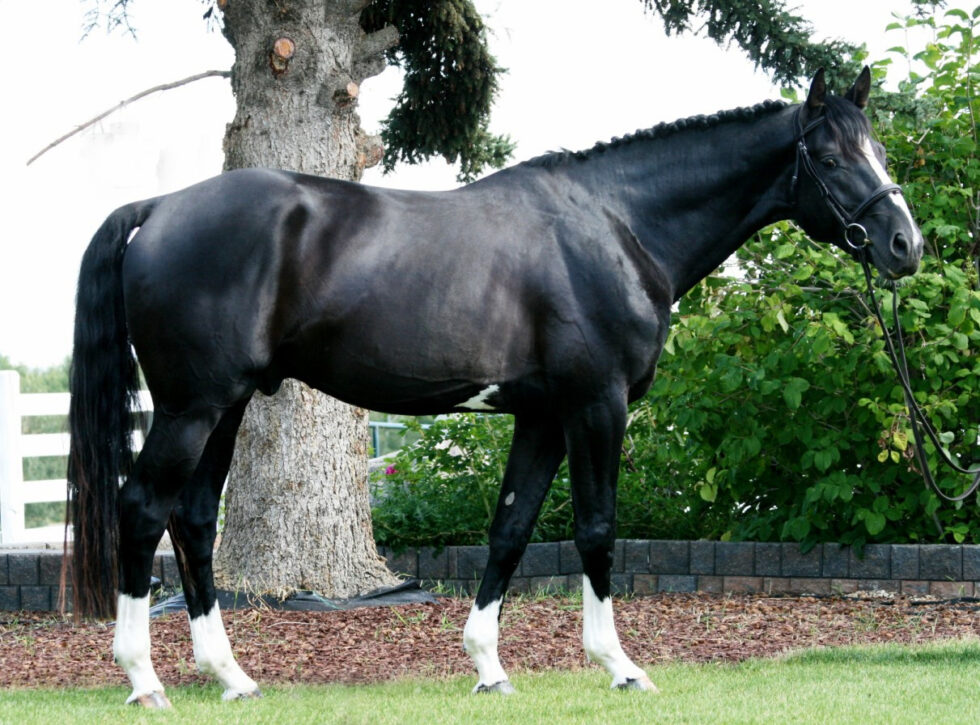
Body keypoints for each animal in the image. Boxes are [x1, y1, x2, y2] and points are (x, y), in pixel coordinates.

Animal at [66, 68, 922, 707]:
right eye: (830, 155)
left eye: (877, 145)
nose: (905, 245)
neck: (616, 225)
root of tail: (159, 208)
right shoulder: (596, 405)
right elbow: (596, 529)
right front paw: (621, 666)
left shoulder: (541, 416)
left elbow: (510, 529)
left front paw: (489, 667)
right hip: (192, 408)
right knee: (143, 510)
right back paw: (144, 680)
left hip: (226, 407)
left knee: (194, 522)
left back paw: (233, 677)